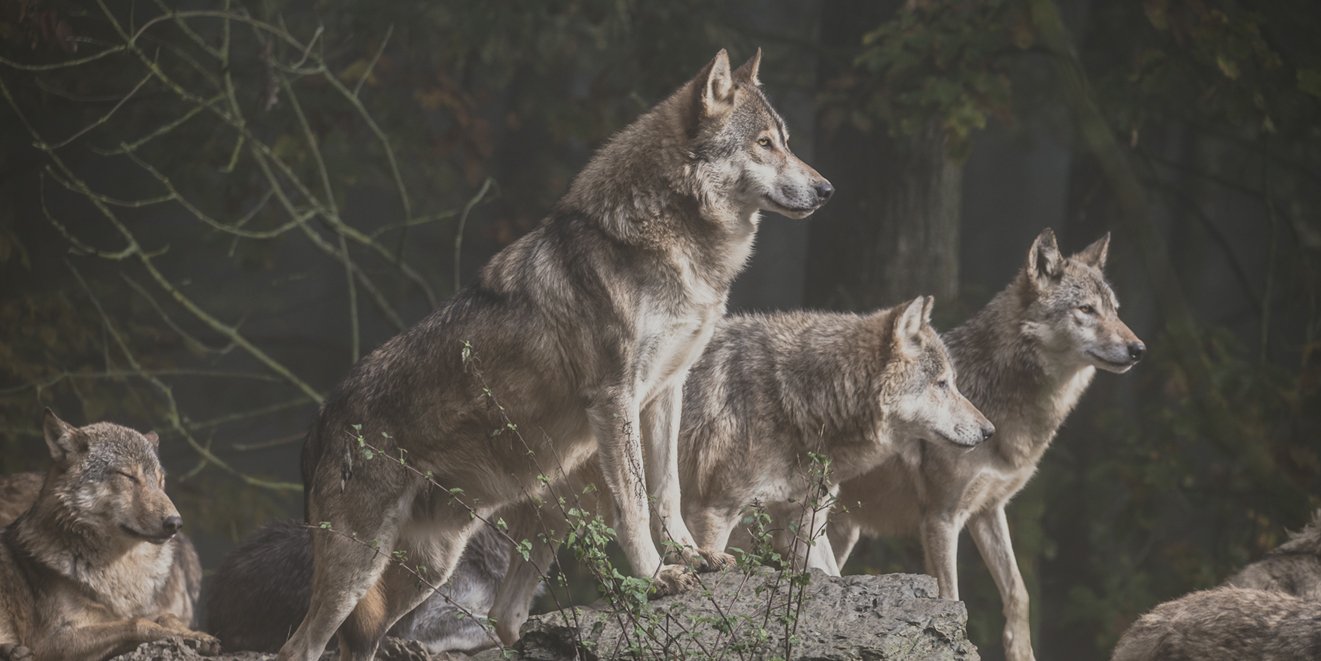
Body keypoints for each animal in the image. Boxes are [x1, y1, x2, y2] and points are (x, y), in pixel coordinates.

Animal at [0, 410, 215, 660]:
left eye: (161, 481)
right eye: (128, 476)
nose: (176, 523)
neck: (118, 570)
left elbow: (165, 616)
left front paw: (198, 636)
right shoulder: (50, 642)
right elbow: (138, 623)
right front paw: (181, 636)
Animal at [281, 48, 832, 661]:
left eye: (785, 141)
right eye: (765, 143)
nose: (827, 189)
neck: (673, 242)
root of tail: (319, 421)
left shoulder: (666, 391)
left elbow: (666, 492)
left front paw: (694, 557)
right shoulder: (614, 399)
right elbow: (634, 504)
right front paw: (655, 576)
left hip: (426, 568)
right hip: (361, 567)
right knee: (298, 645)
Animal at [483, 296, 994, 644]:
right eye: (943, 384)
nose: (990, 431)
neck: (800, 398)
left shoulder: (805, 525)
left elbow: (832, 580)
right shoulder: (713, 513)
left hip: (547, 533)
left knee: (502, 615)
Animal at [826, 228, 1145, 661]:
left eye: (1115, 310)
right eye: (1086, 309)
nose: (1138, 349)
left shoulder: (989, 510)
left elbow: (1018, 591)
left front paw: (1020, 651)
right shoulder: (941, 518)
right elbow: (950, 597)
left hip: (843, 532)